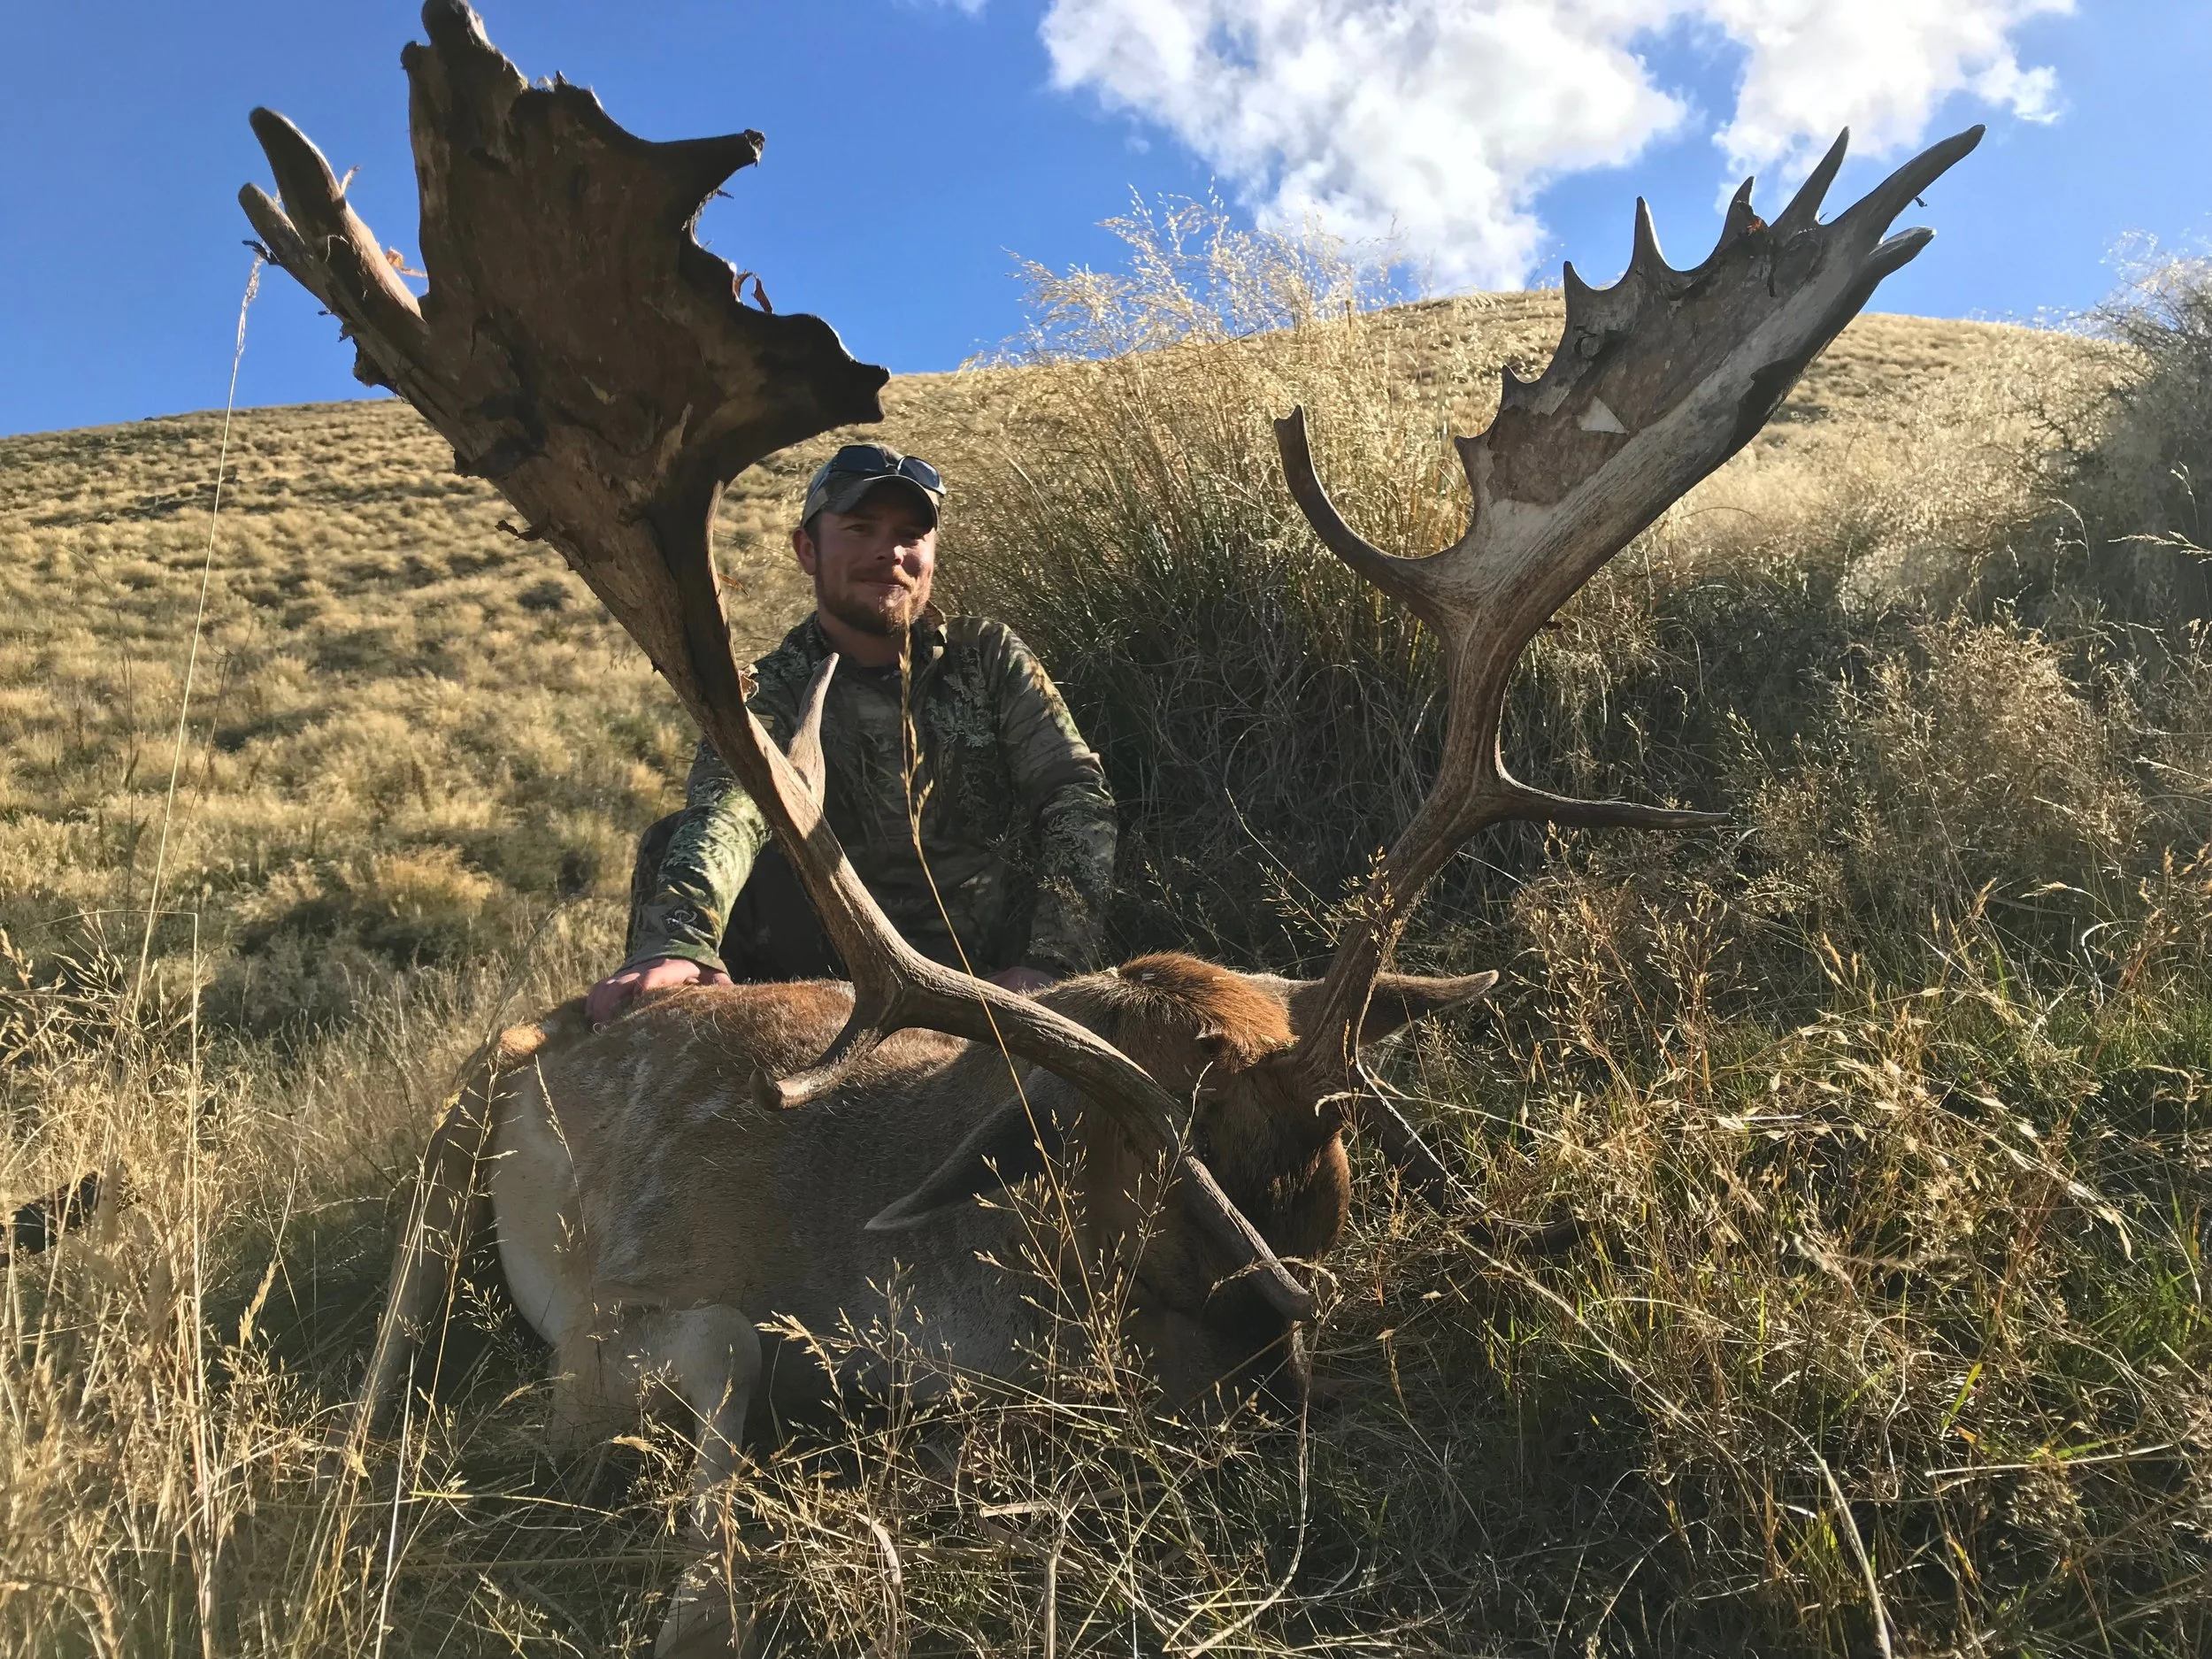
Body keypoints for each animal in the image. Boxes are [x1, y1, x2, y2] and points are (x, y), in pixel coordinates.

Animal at [239, 5, 1980, 1652]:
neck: (941, 1282)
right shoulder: (626, 1332)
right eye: (1166, 1174)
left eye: (1337, 1164)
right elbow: (711, 1433)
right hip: (458, 1133)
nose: (1296, 1364)